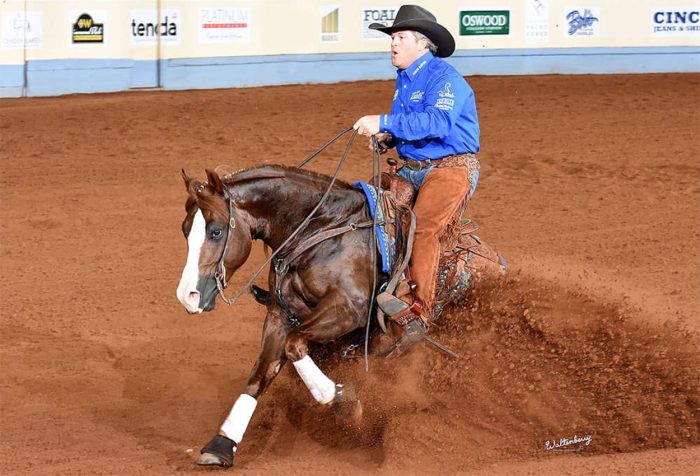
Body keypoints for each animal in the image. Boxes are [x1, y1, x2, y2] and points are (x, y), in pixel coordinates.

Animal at [175, 164, 504, 467]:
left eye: (216, 231)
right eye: (184, 229)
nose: (187, 295)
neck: (319, 229)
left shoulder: (348, 308)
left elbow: (294, 346)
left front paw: (341, 397)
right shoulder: (281, 314)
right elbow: (261, 374)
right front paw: (221, 445)